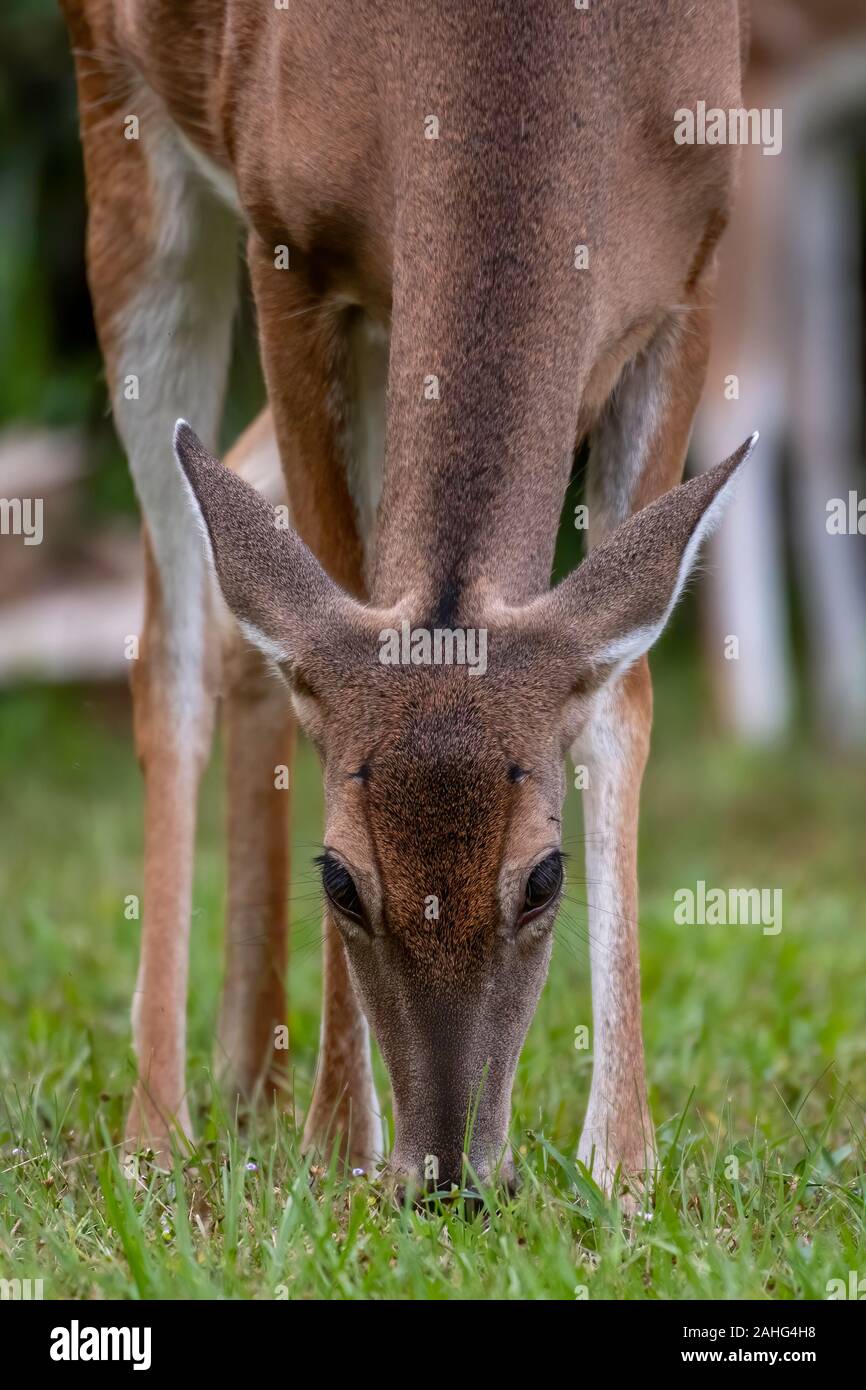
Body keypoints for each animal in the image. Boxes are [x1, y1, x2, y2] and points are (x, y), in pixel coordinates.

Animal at [62, 0, 754, 1198]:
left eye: (544, 876)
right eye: (339, 878)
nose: (450, 1176)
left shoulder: (695, 265)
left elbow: (621, 703)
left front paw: (622, 1165)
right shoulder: (283, 236)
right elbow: (334, 608)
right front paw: (342, 1141)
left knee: (234, 535)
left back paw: (251, 1076)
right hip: (122, 130)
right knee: (173, 639)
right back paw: (159, 1129)